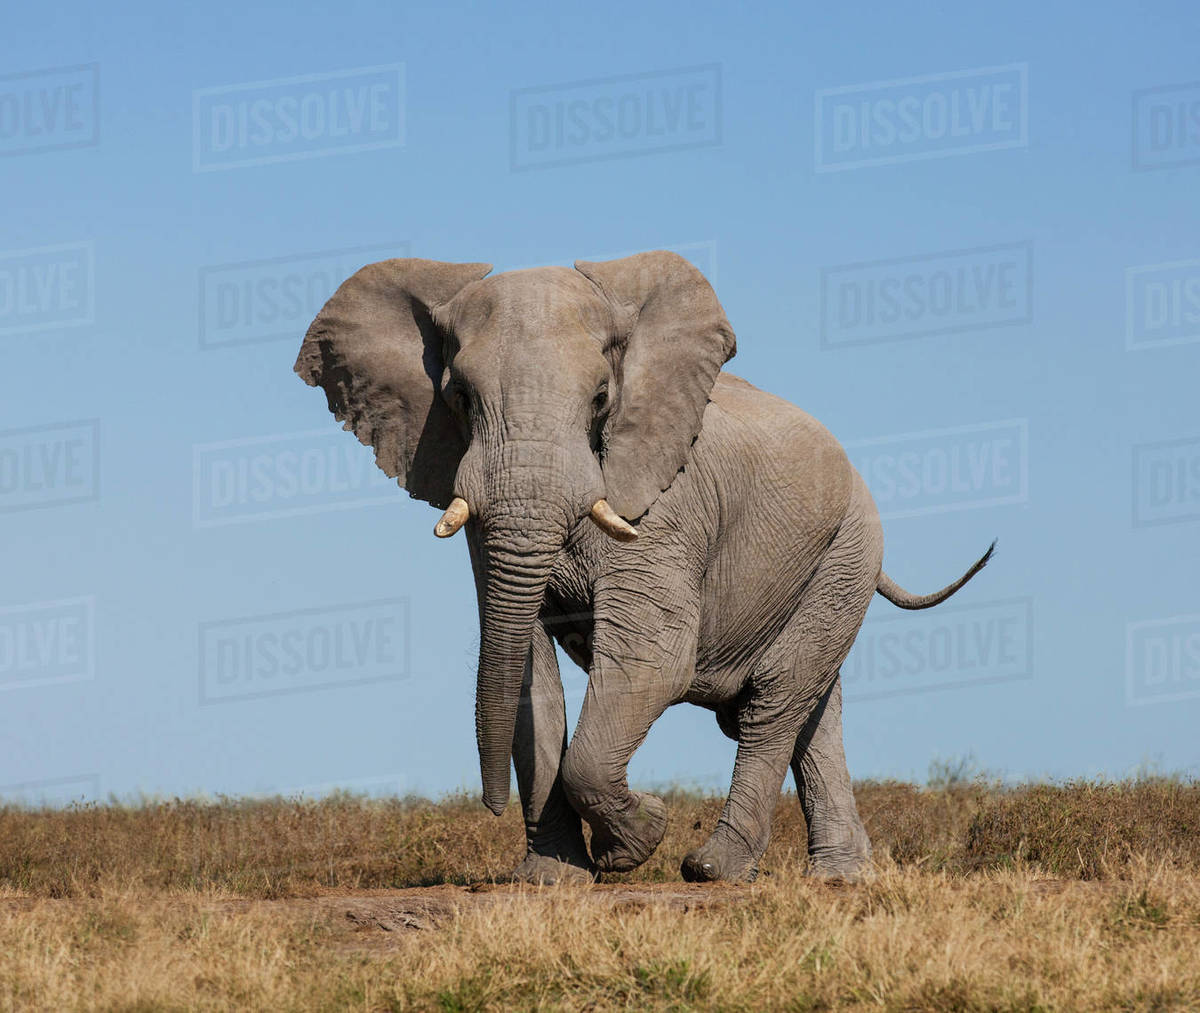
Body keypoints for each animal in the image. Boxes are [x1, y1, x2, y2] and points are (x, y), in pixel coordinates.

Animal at [294, 251, 993, 884]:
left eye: (602, 397)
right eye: (461, 398)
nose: (488, 806)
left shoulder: (665, 500)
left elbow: (652, 657)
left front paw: (634, 842)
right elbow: (526, 667)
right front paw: (550, 880)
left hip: (847, 550)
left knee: (774, 700)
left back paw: (715, 869)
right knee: (814, 711)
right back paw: (840, 877)